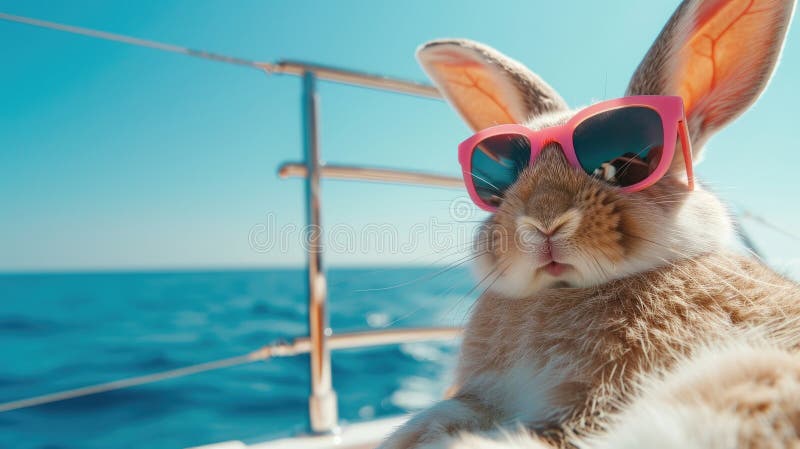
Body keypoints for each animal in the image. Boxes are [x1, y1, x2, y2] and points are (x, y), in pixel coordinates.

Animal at [378, 0, 799, 448]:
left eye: (621, 168)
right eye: (504, 180)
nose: (544, 221)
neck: (565, 290)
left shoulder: (590, 405)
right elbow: (447, 413)